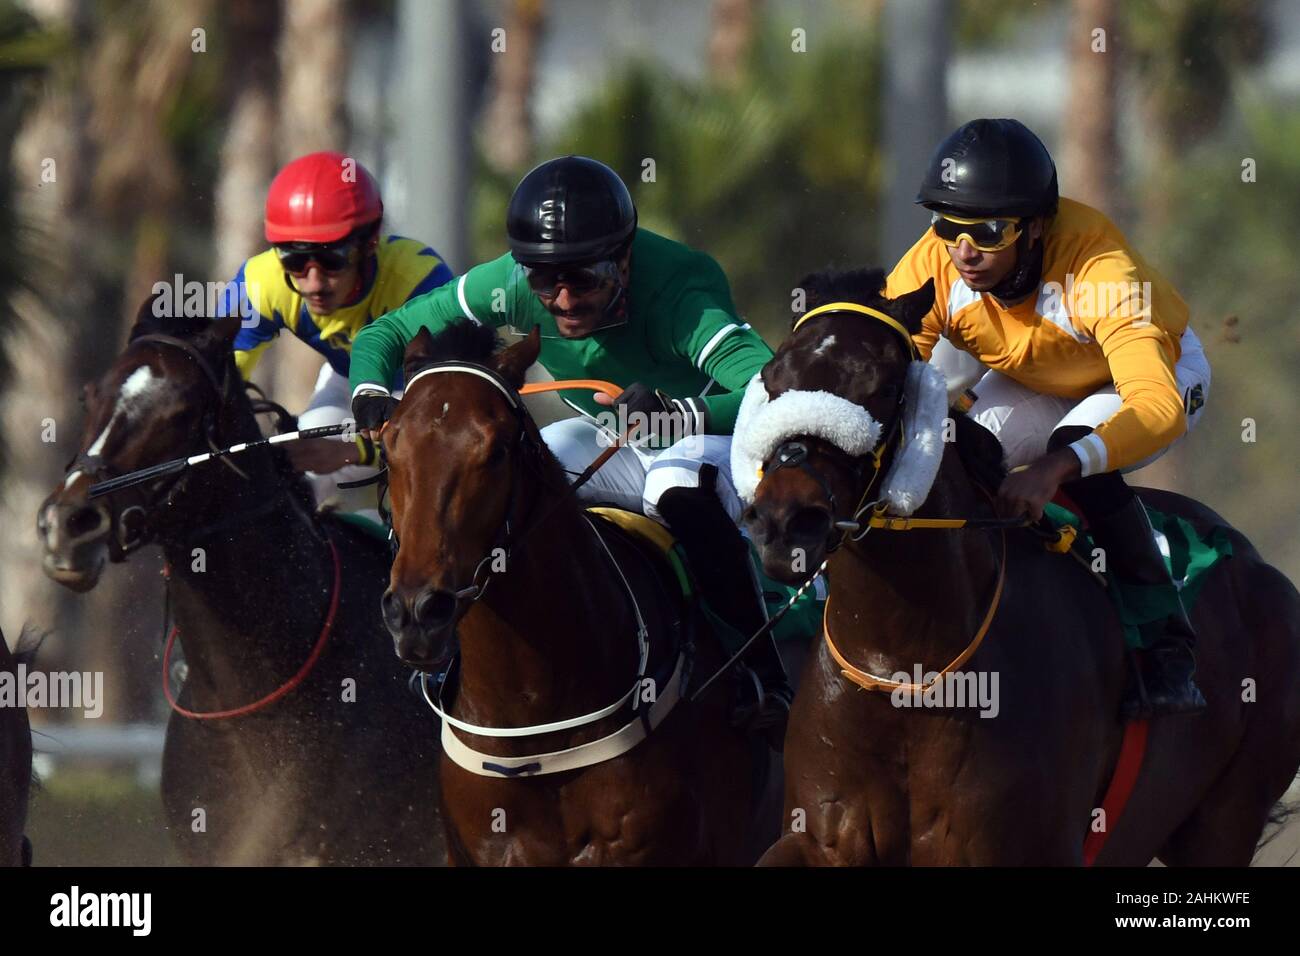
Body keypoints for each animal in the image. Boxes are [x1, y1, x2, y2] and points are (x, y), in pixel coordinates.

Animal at [742, 268, 1300, 866]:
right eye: (771, 379)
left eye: (884, 388)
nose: (784, 520)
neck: (906, 670)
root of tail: (1252, 559)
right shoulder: (818, 836)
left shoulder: (1027, 845)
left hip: (1224, 819)